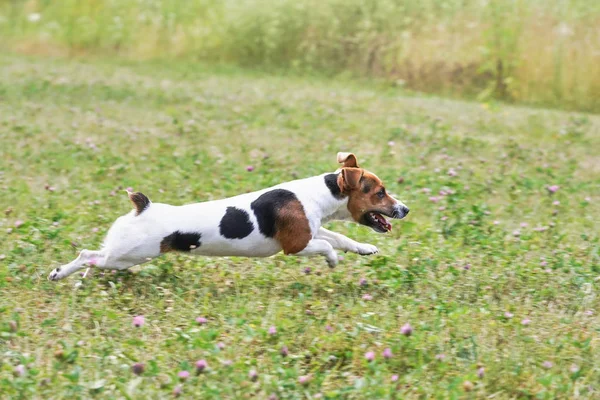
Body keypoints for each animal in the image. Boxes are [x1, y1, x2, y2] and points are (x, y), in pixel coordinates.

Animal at [49, 153, 410, 282]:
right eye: (380, 193)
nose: (405, 209)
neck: (318, 195)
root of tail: (144, 206)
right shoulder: (296, 245)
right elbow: (328, 246)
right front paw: (333, 260)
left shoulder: (311, 230)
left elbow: (340, 237)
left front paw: (364, 249)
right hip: (130, 254)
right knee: (88, 256)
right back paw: (59, 273)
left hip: (124, 255)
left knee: (94, 257)